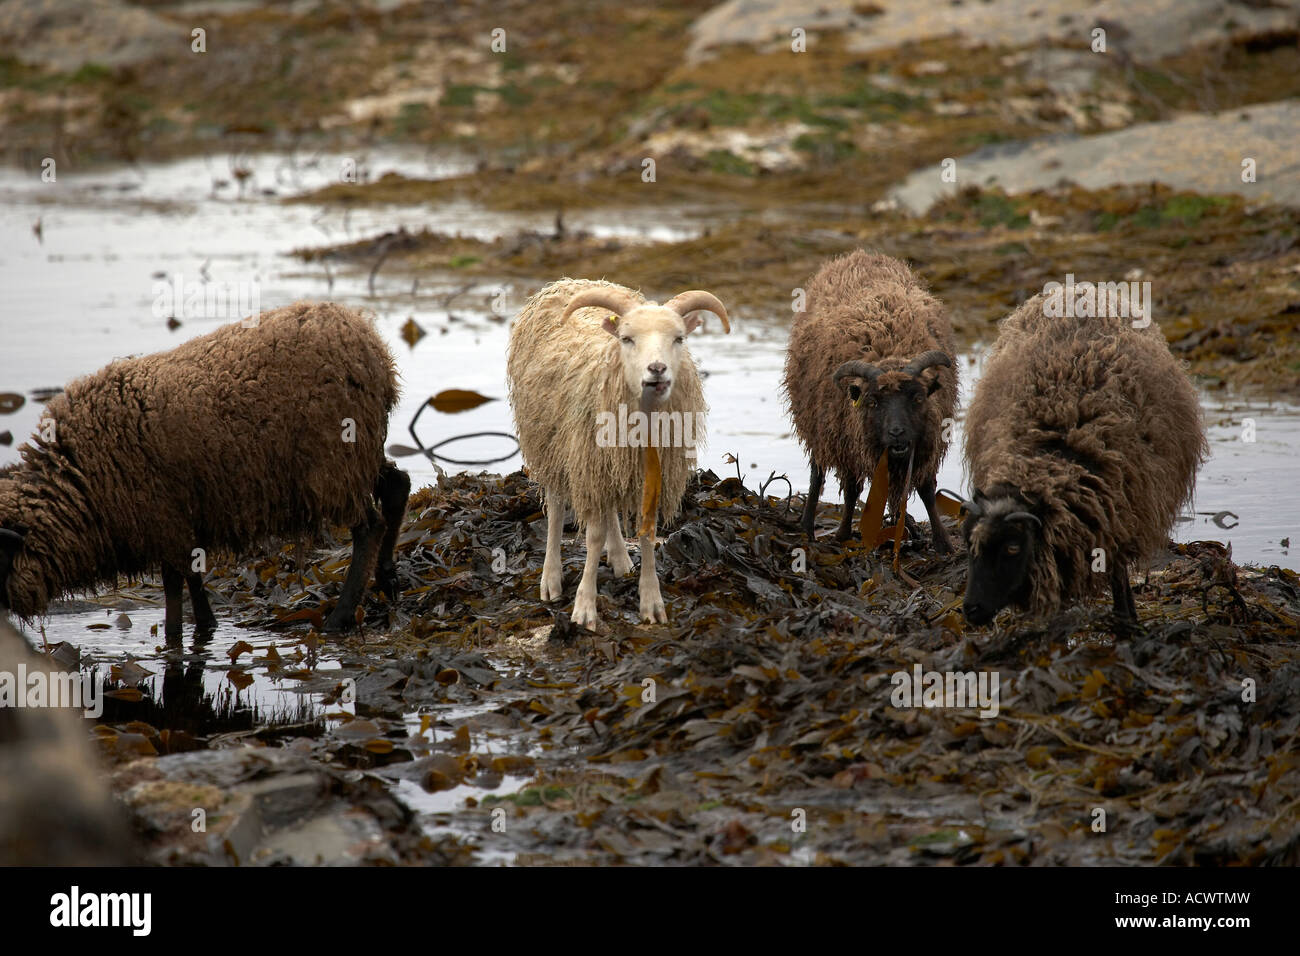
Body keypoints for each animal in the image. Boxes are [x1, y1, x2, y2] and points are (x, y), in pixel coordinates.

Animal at [0, 301, 411, 639]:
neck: (77, 484)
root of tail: (375, 352)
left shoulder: (164, 520)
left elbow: (180, 582)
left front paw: (187, 631)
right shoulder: (172, 524)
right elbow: (183, 580)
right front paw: (196, 625)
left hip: (335, 464)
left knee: (368, 527)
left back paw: (340, 617)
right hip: (361, 454)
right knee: (397, 485)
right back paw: (388, 577)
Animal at [506, 278, 730, 627]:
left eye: (679, 338)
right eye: (627, 338)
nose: (657, 369)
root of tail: (571, 281)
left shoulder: (649, 475)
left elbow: (648, 532)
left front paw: (651, 601)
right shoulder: (588, 465)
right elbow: (593, 536)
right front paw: (584, 607)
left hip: (608, 464)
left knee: (609, 508)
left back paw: (620, 558)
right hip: (551, 445)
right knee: (555, 508)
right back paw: (551, 579)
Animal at [782, 250, 957, 549]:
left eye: (918, 397)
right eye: (872, 402)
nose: (897, 432)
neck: (890, 347)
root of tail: (858, 255)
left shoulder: (927, 443)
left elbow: (926, 491)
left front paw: (941, 540)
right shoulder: (847, 440)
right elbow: (852, 489)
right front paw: (842, 534)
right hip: (819, 428)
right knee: (818, 475)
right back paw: (806, 526)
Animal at [960, 293, 1207, 625]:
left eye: (1013, 548)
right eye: (968, 546)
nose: (971, 610)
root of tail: (1081, 289)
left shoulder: (1121, 511)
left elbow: (1117, 567)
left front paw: (1126, 617)